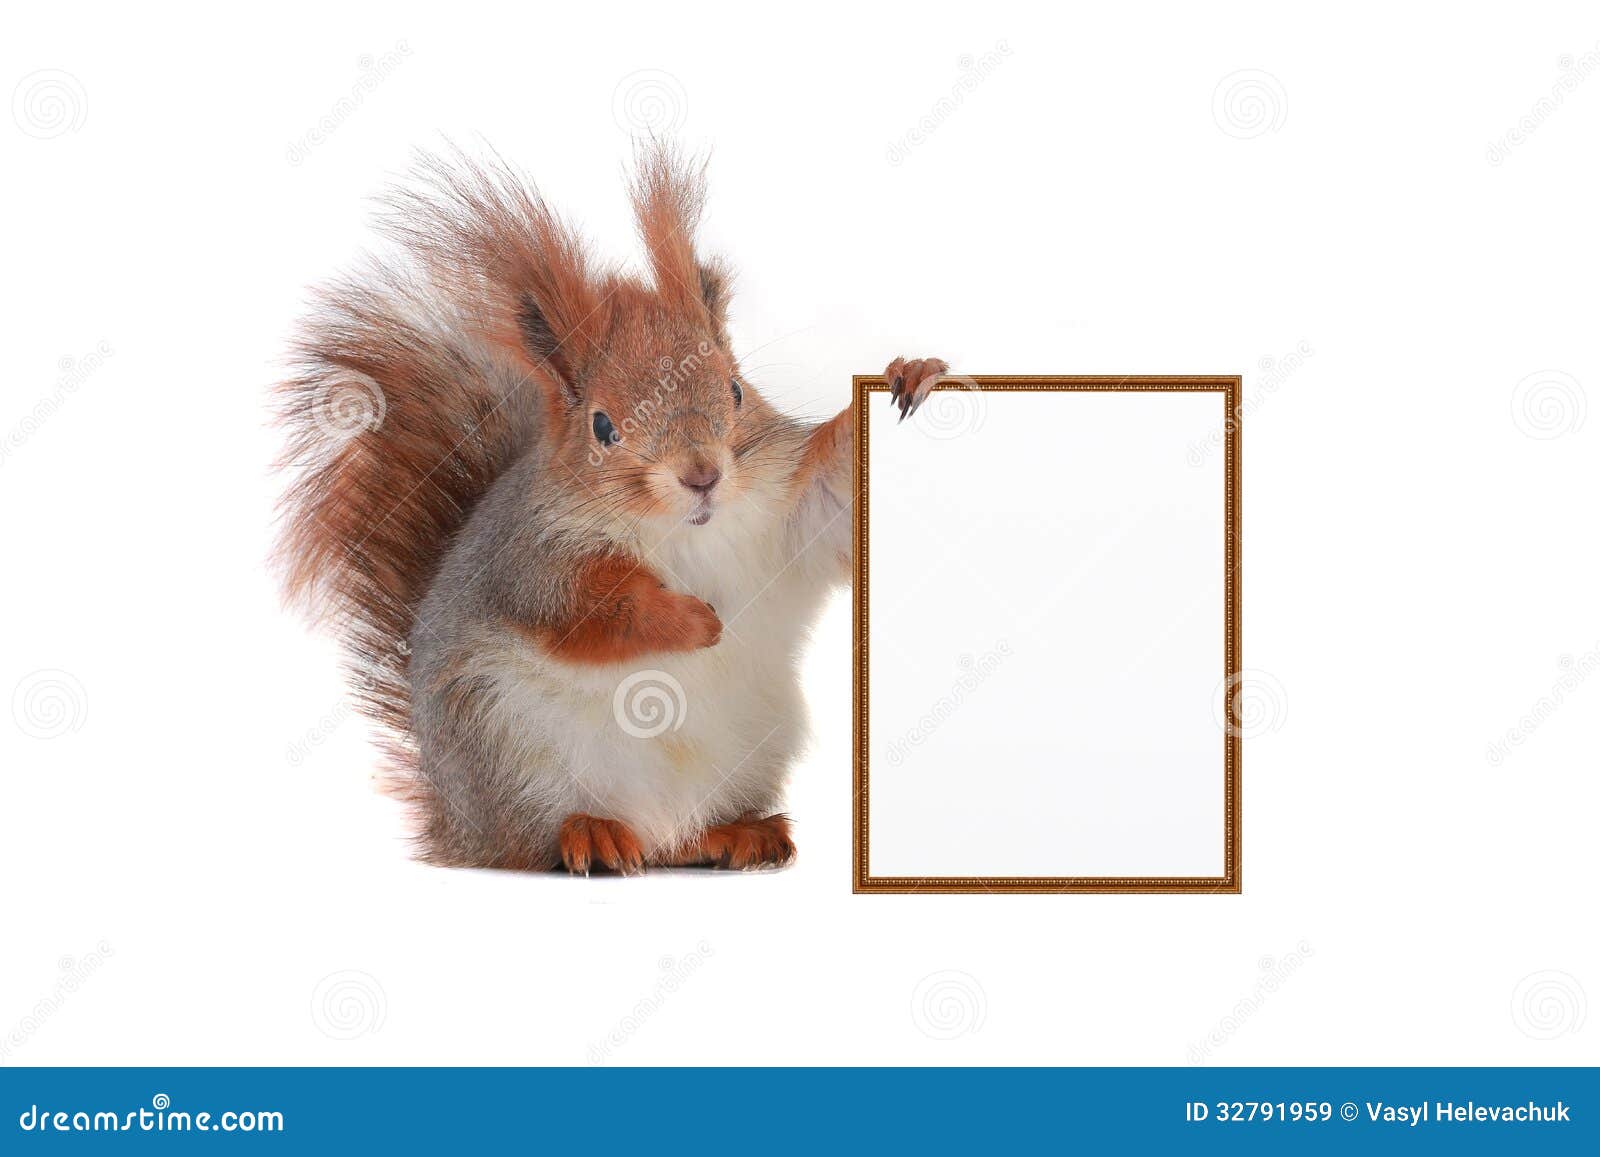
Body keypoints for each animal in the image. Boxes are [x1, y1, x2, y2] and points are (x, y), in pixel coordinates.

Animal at [275, 143, 949, 874]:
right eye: (602, 427)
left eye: (736, 390)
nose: (703, 475)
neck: (687, 532)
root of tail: (458, 828)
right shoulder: (532, 555)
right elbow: (586, 610)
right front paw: (691, 621)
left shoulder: (785, 510)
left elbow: (835, 494)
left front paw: (912, 375)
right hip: (507, 751)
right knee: (536, 840)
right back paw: (590, 834)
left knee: (682, 839)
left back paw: (737, 832)